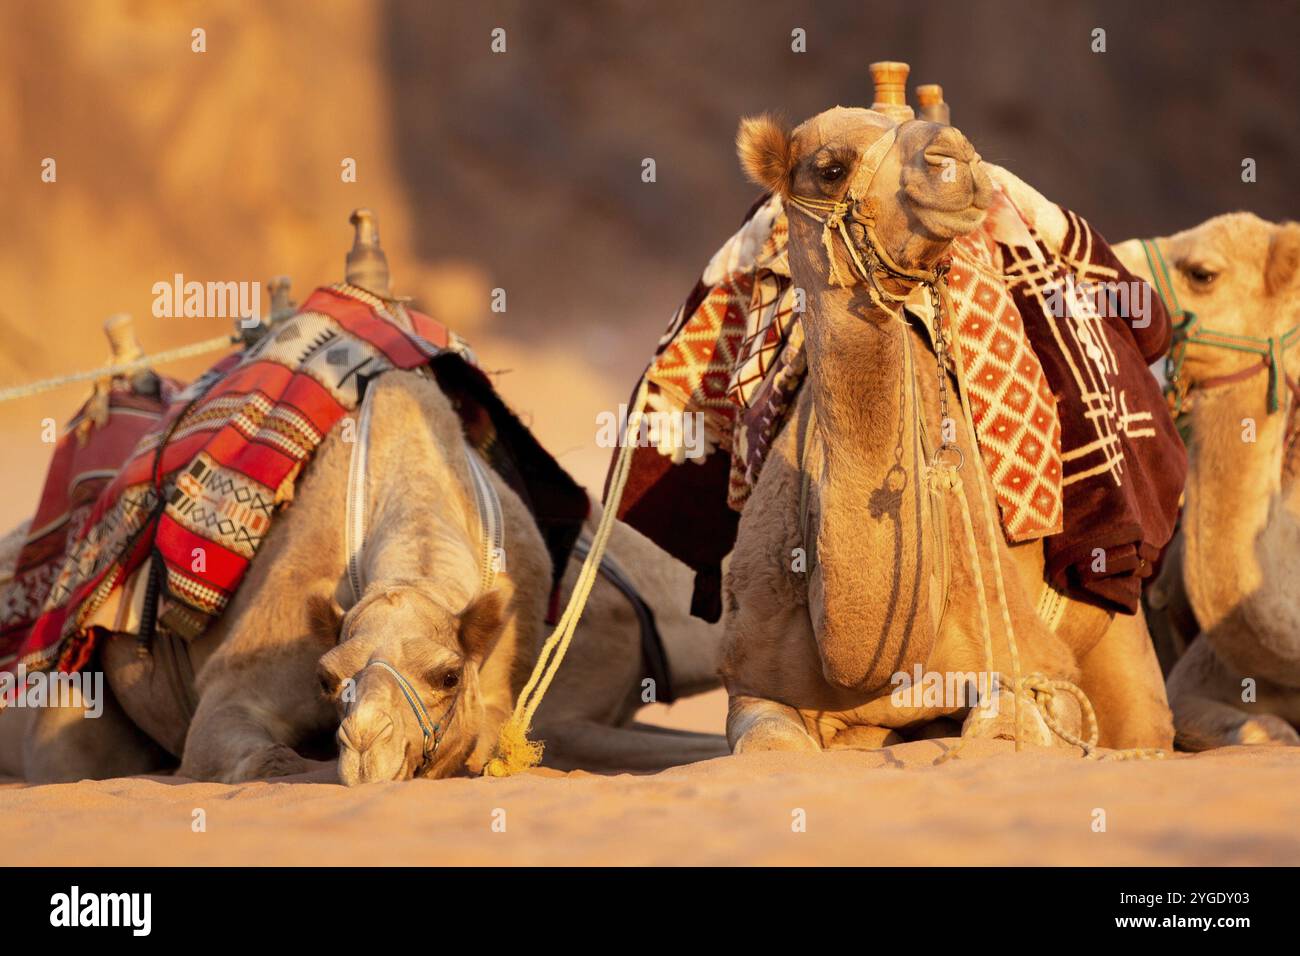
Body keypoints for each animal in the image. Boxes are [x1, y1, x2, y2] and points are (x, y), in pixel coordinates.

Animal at [721, 107, 1173, 755]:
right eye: (830, 168)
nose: (953, 156)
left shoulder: (1036, 666)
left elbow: (1003, 724)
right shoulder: (750, 681)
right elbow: (771, 746)